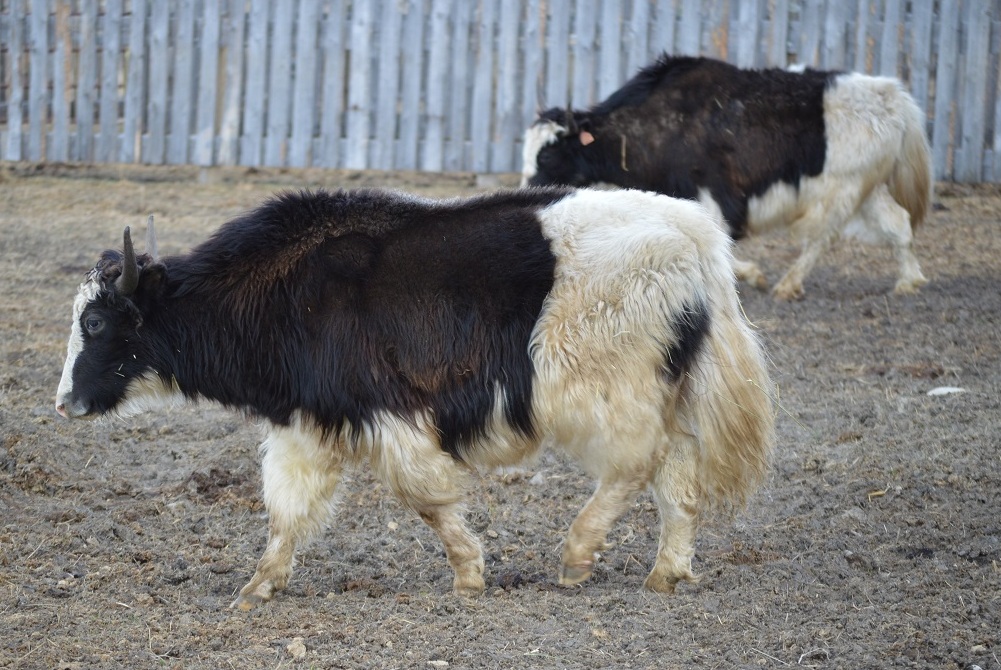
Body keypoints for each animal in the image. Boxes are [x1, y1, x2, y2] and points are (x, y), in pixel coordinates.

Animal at [55, 187, 774, 610]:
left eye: (96, 322)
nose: (65, 403)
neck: (279, 291)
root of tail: (697, 238)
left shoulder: (387, 412)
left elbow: (425, 499)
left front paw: (468, 574)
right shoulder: (309, 423)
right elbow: (288, 512)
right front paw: (256, 588)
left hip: (604, 385)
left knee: (636, 462)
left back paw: (575, 557)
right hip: (665, 382)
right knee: (677, 467)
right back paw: (667, 571)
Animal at [521, 54, 933, 300]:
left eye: (549, 153)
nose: (527, 194)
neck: (651, 125)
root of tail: (894, 99)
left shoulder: (710, 194)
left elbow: (715, 237)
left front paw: (752, 275)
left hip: (843, 188)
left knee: (822, 237)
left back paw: (787, 284)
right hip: (868, 188)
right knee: (897, 223)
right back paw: (908, 281)